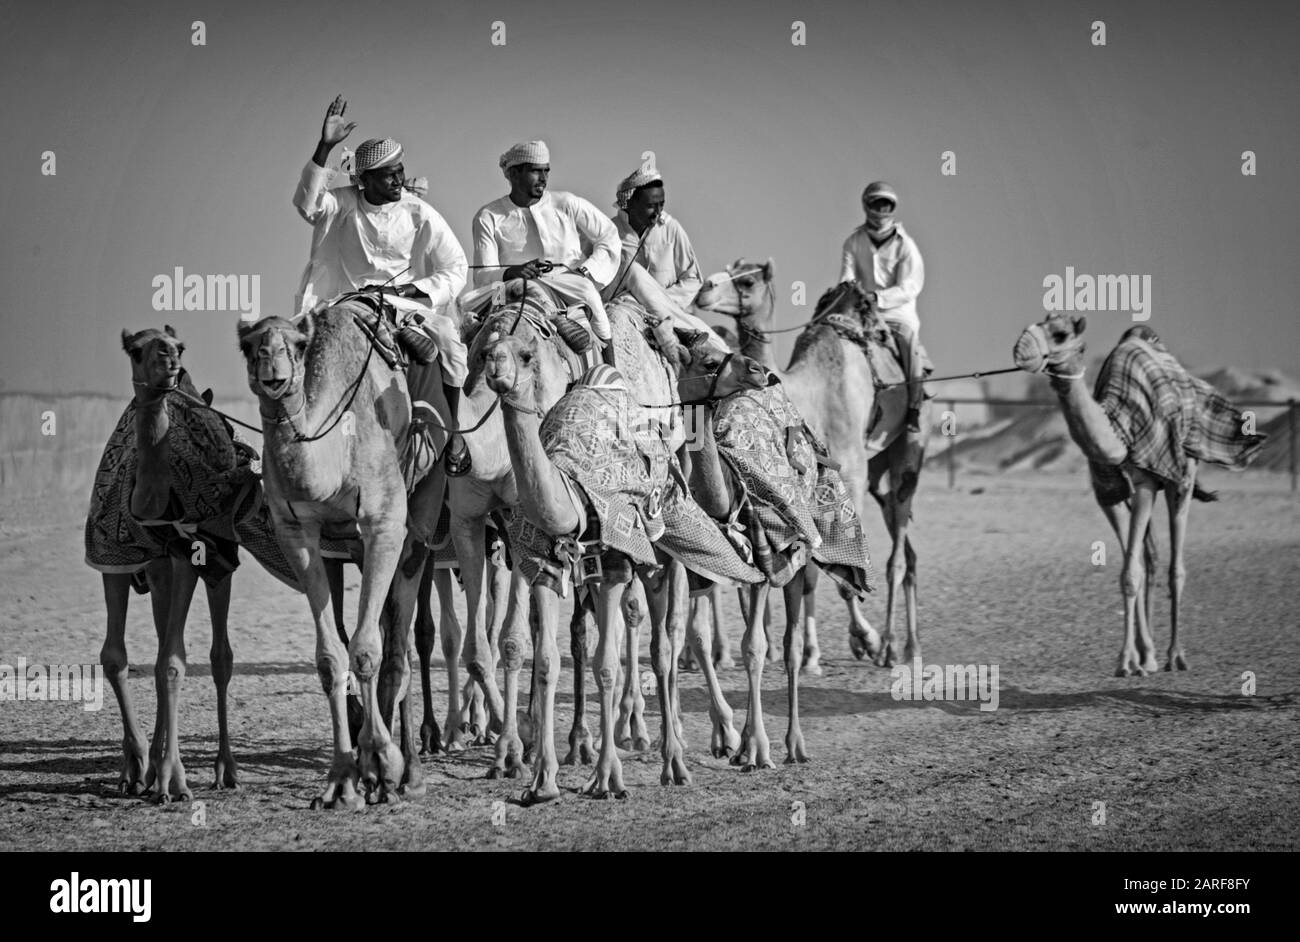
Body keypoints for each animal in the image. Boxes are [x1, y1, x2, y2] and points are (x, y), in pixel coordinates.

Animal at [92, 327, 240, 802]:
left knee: (218, 656)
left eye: (180, 346)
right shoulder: (115, 561)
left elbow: (173, 662)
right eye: (137, 349)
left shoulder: (188, 557)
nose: (172, 362)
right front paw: (136, 766)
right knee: (160, 644)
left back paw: (224, 769)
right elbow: (115, 657)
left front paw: (172, 779)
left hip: (216, 560)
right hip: (158, 571)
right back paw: (151, 764)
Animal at [238, 303, 434, 807]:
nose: (271, 366)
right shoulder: (298, 535)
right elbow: (331, 657)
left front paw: (382, 761)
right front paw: (344, 779)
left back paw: (410, 773)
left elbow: (367, 650)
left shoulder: (384, 524)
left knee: (400, 646)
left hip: (417, 532)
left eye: (297, 344)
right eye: (248, 346)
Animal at [693, 261, 925, 667]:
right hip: (879, 470)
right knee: (906, 548)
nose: (703, 289)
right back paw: (909, 646)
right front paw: (809, 651)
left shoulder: (849, 472)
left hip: (905, 452)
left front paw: (861, 641)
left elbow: (837, 566)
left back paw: (892, 646)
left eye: (747, 280)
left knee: (897, 550)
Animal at [1013, 315, 1266, 676]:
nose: (1021, 351)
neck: (1120, 429)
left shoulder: (1145, 483)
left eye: (1060, 334)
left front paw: (1125, 661)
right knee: (1152, 556)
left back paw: (1176, 655)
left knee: (1176, 566)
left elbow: (1132, 572)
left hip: (1181, 477)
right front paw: (1136, 659)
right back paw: (1151, 655)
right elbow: (1133, 571)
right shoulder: (1110, 494)